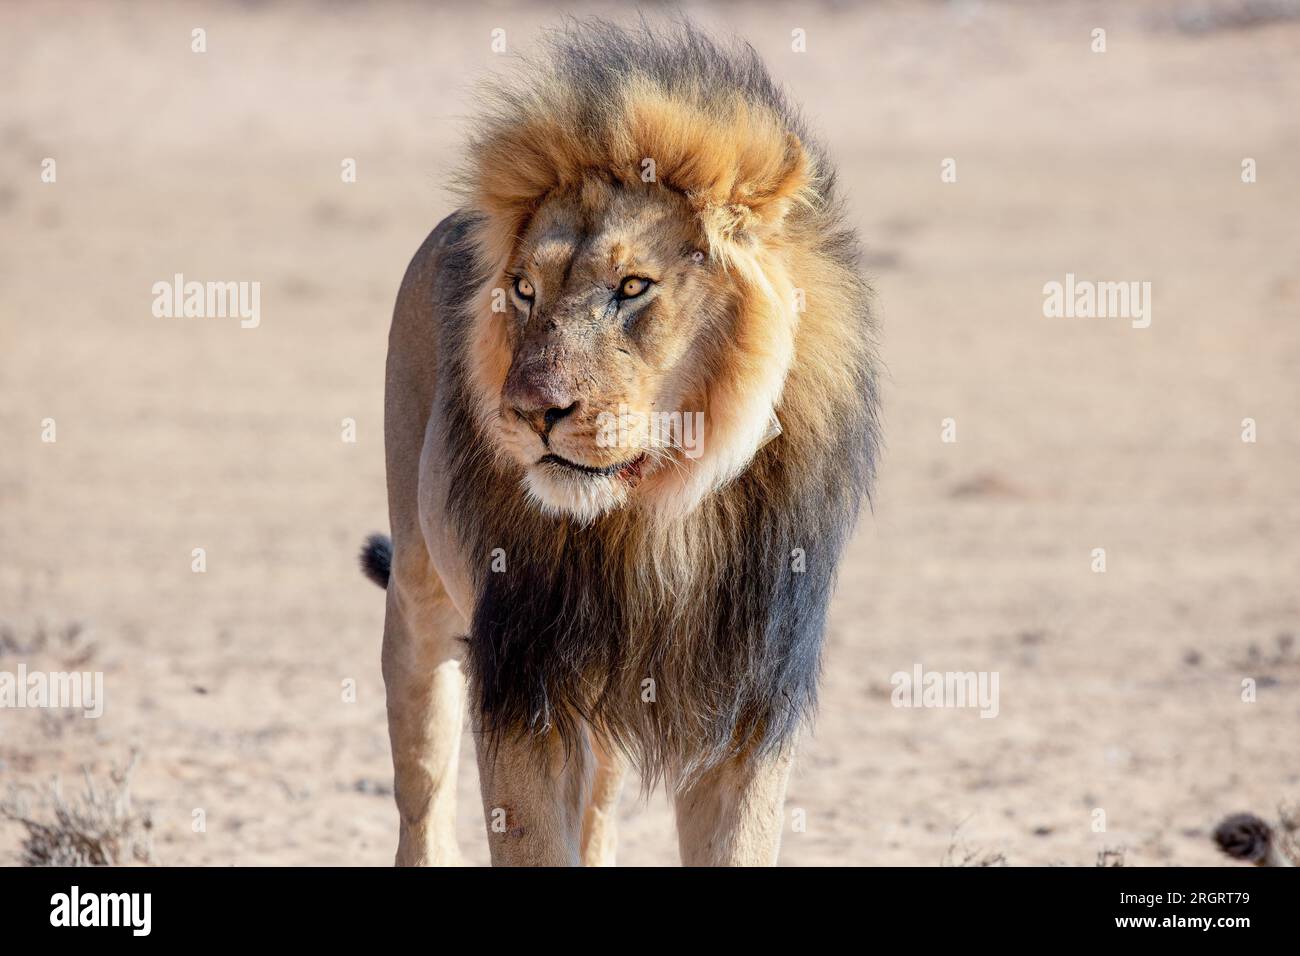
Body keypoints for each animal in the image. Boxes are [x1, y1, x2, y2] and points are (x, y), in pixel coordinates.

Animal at [360, 19, 879, 866]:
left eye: (632, 286)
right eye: (524, 291)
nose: (531, 412)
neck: (658, 516)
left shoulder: (749, 708)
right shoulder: (523, 689)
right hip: (418, 594)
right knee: (422, 793)